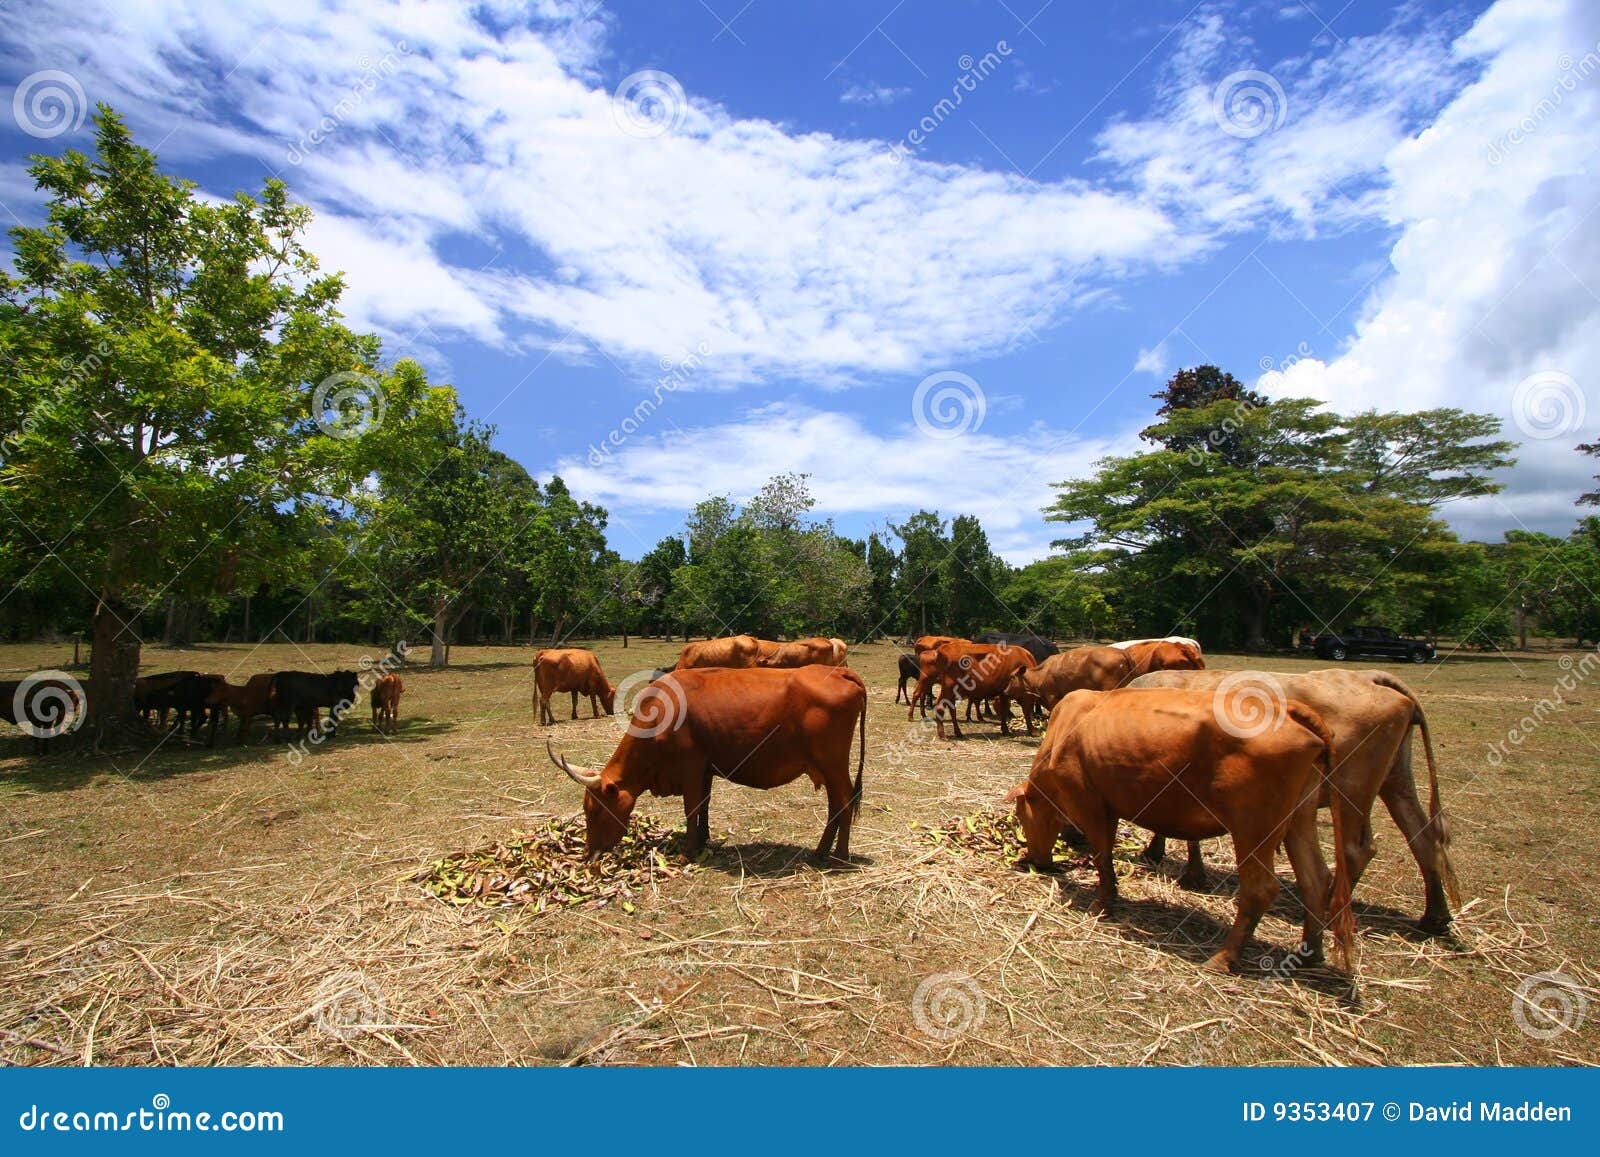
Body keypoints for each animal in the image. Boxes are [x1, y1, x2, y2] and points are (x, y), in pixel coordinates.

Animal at [546, 665, 868, 863]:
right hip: (825, 767)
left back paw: (838, 855)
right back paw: (821, 850)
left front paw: (687, 851)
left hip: (833, 764)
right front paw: (702, 840)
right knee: (836, 806)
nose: (589, 854)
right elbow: (704, 805)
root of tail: (839, 671)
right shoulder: (705, 769)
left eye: (596, 810)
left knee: (844, 803)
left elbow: (691, 808)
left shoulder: (689, 768)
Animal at [1008, 686, 1356, 974]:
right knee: (1315, 880)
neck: (1066, 729)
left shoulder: (1090, 801)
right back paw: (1309, 953)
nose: (1033, 860)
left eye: (1022, 817)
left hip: (1252, 828)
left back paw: (1223, 958)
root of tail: (1292, 709)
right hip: (1300, 817)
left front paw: (1102, 904)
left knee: (1260, 889)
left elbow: (1102, 856)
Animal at [1128, 667, 1459, 933]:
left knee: (1356, 851)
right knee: (1423, 838)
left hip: (1351, 788)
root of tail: (1369, 676)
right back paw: (1435, 918)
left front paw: (1175, 864)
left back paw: (1329, 912)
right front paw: (1173, 861)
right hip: (1395, 780)